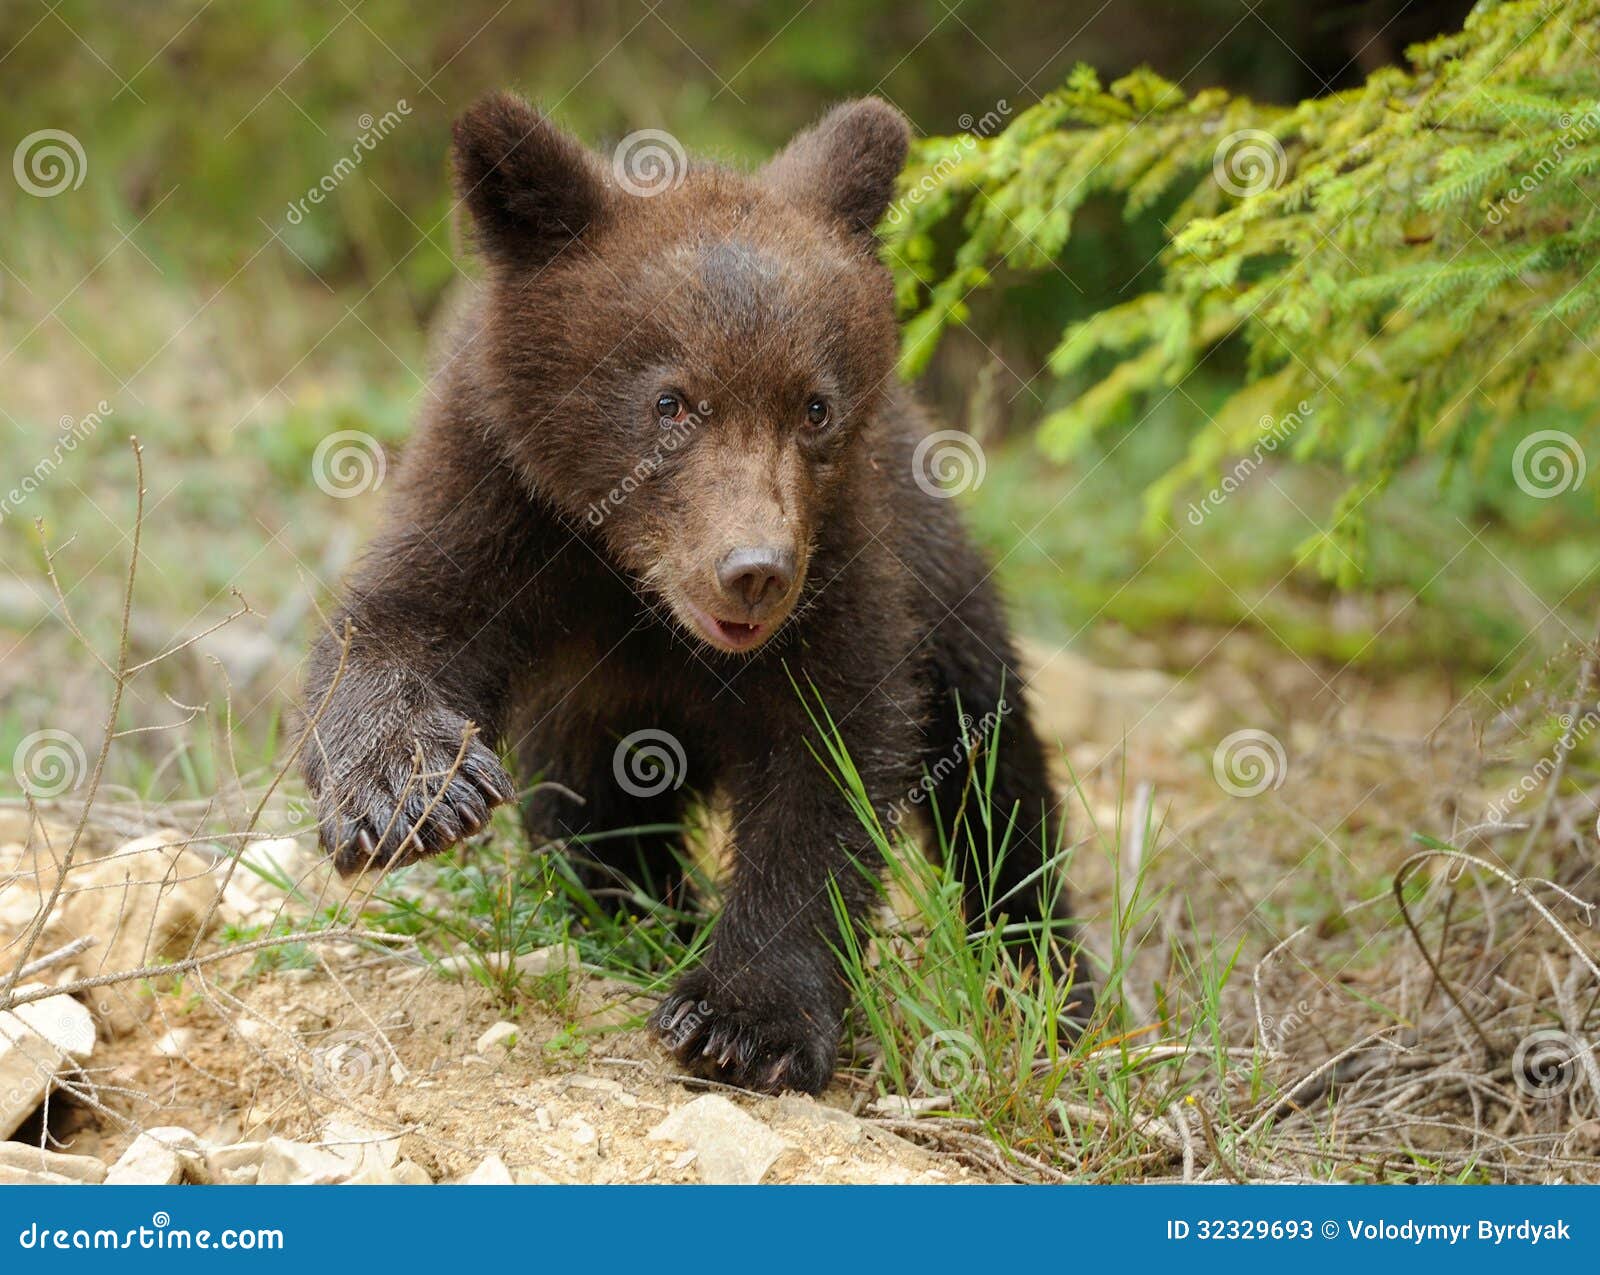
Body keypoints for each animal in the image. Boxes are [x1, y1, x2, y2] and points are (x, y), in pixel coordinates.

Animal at [299, 91, 1090, 1095]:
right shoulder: (497, 498)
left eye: (814, 405)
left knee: (994, 774)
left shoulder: (843, 560)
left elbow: (830, 762)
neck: (635, 586)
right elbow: (396, 623)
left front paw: (743, 1019)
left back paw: (1042, 973)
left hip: (942, 578)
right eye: (670, 401)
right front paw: (413, 792)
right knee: (593, 813)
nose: (753, 568)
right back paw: (634, 916)